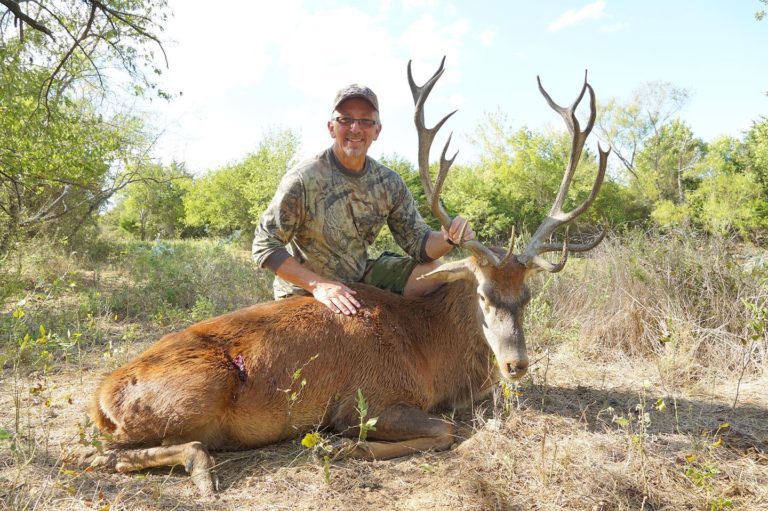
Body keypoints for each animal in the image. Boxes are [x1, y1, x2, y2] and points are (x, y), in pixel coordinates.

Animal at [86, 58, 609, 495]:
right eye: (481, 294)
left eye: (527, 296)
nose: (516, 364)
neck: (433, 357)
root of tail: (101, 399)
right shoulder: (371, 398)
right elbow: (447, 431)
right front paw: (338, 445)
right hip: (197, 390)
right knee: (102, 455)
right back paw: (202, 471)